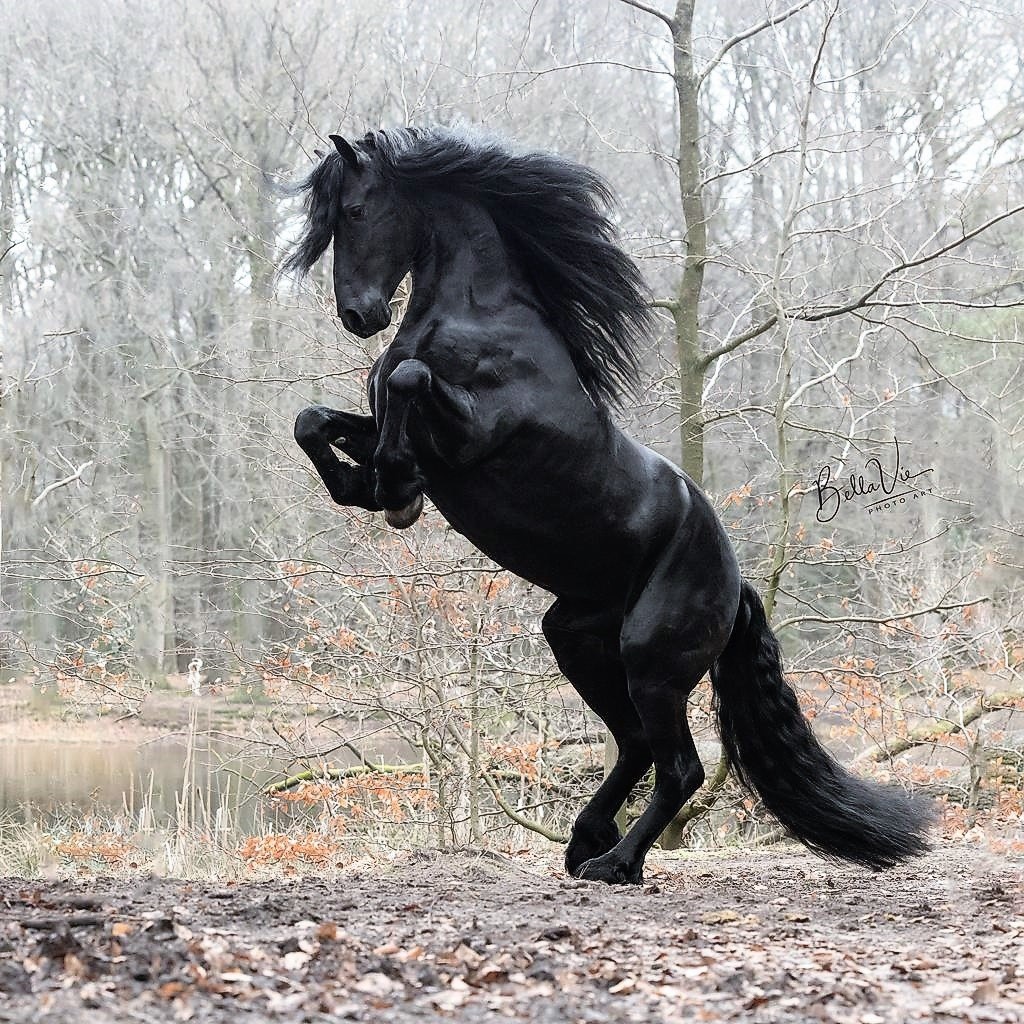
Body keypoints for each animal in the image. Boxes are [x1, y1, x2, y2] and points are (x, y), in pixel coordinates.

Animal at [283, 127, 931, 884]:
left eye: (356, 212)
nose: (359, 317)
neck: (480, 321)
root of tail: (737, 585)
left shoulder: (470, 436)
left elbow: (409, 380)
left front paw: (394, 488)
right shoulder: (392, 424)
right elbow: (314, 421)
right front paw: (372, 488)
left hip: (651, 659)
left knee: (678, 767)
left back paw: (615, 862)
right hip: (579, 640)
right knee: (636, 747)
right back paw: (586, 841)